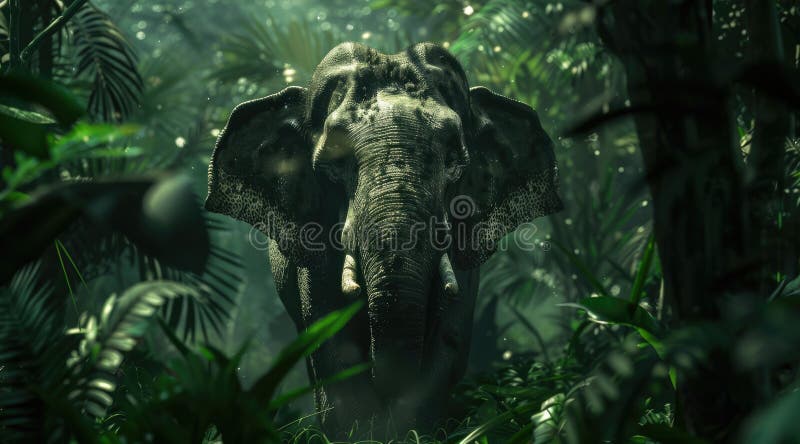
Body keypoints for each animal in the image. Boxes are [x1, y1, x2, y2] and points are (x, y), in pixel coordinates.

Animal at [205, 42, 562, 438]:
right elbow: (331, 340)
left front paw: (408, 432)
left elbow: (448, 340)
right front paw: (365, 434)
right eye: (334, 162)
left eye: (453, 158)